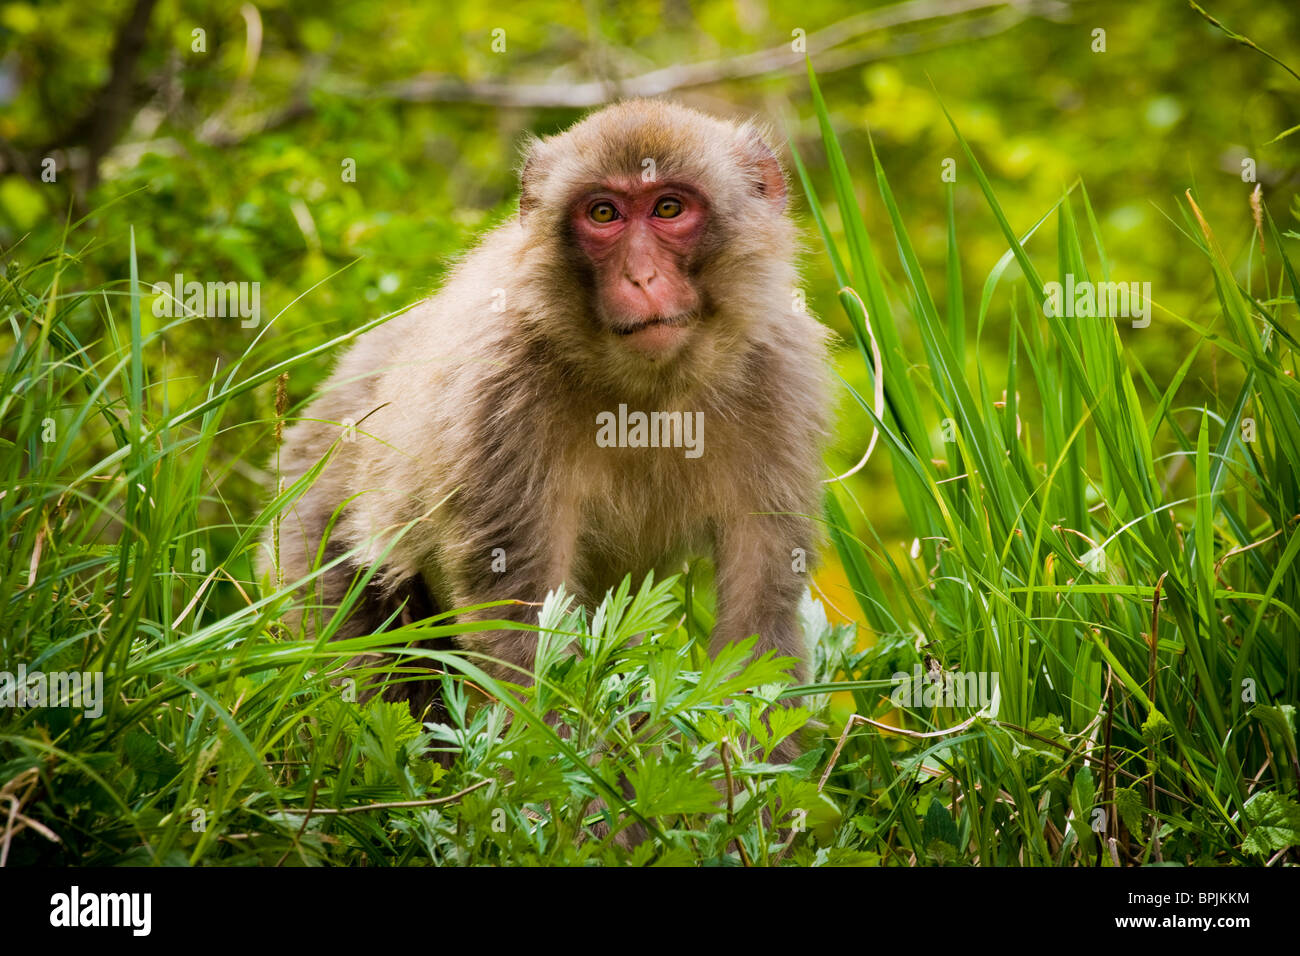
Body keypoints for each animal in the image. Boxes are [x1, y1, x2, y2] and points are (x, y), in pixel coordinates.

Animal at [266, 99, 832, 762]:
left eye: (669, 208)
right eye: (604, 214)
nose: (640, 278)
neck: (650, 393)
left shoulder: (782, 379)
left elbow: (758, 623)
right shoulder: (497, 389)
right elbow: (522, 629)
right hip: (307, 537)